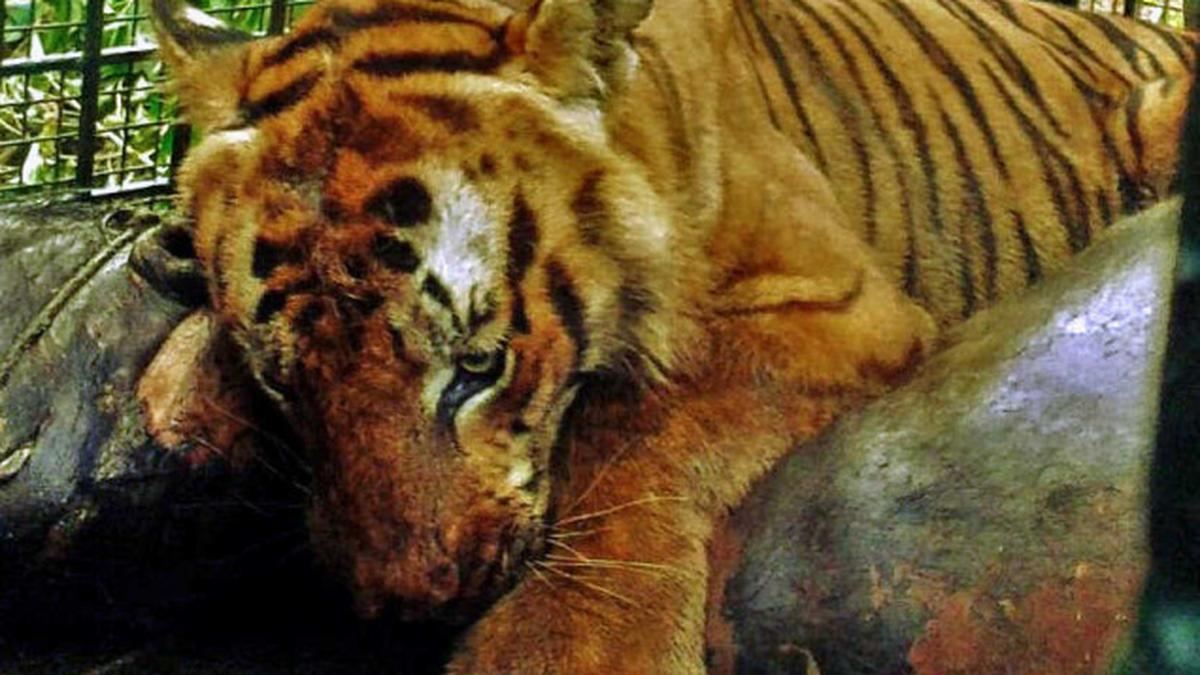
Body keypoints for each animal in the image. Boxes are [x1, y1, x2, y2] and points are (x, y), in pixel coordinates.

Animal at [139, 0, 1194, 670]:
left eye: (480, 367)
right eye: (287, 384)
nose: (406, 602)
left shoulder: (836, 304)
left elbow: (635, 426)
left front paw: (559, 650)